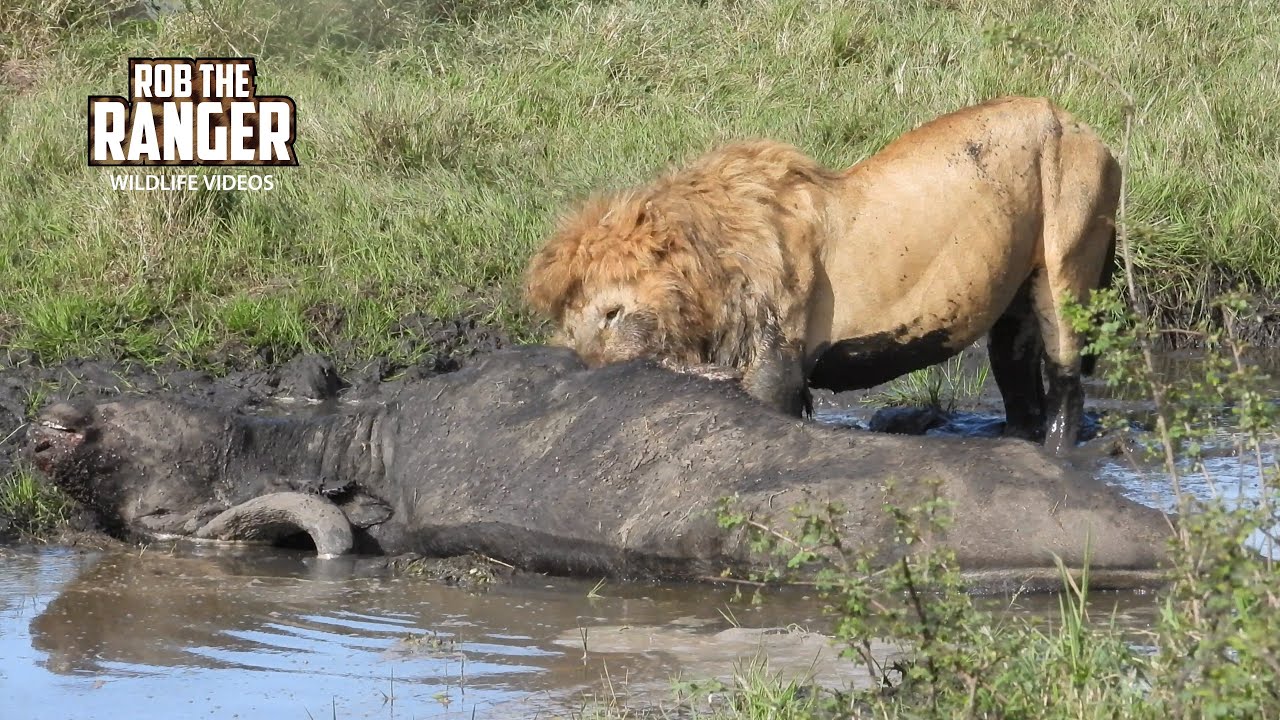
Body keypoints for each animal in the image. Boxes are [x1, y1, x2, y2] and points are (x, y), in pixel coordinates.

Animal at [524, 96, 1121, 454]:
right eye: (569, 329)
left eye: (611, 313)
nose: (593, 371)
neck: (706, 271)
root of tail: (1079, 124)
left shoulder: (776, 367)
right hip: (1012, 291)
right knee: (1016, 370)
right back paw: (1015, 438)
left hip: (1070, 257)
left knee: (1066, 382)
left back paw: (1057, 452)